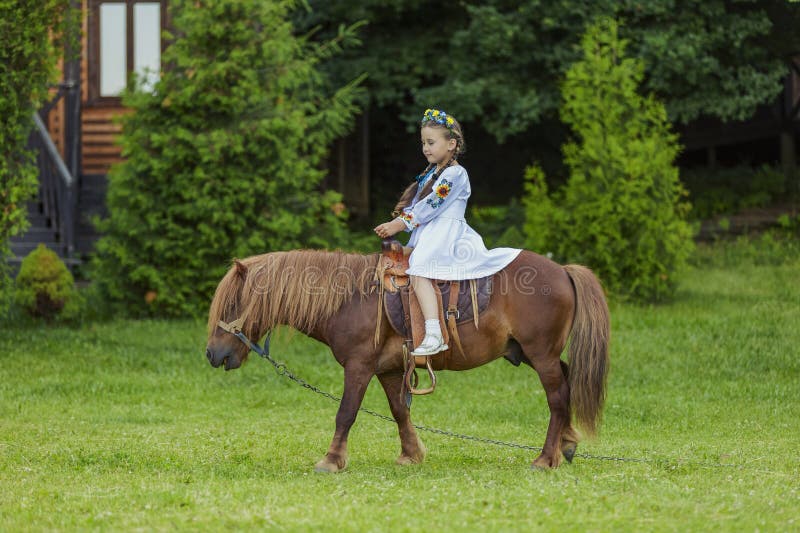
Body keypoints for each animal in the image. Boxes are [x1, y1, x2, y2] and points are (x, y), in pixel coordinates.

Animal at [205, 248, 610, 471]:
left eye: (232, 303)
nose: (212, 354)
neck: (351, 298)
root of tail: (563, 270)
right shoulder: (389, 369)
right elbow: (400, 411)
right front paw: (411, 454)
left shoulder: (359, 367)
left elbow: (346, 413)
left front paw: (331, 460)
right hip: (529, 353)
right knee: (567, 382)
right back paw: (567, 443)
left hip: (540, 355)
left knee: (557, 397)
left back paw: (545, 458)